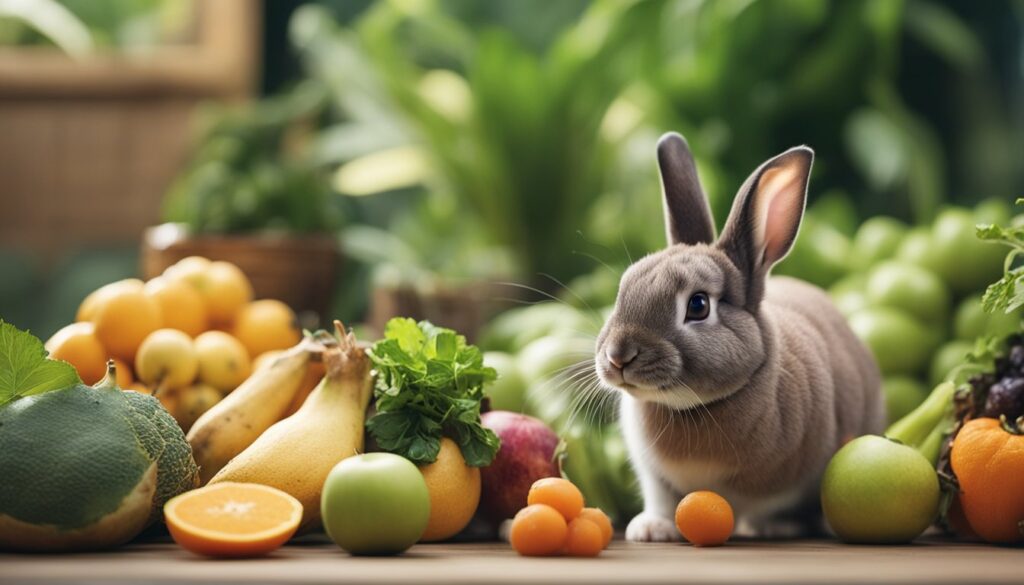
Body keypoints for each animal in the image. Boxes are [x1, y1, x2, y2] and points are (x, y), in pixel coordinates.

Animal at [595, 132, 885, 542]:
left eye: (698, 305)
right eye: (624, 286)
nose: (618, 356)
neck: (693, 407)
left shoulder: (788, 481)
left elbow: (765, 505)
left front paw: (768, 526)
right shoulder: (652, 474)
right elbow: (661, 499)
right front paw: (651, 530)